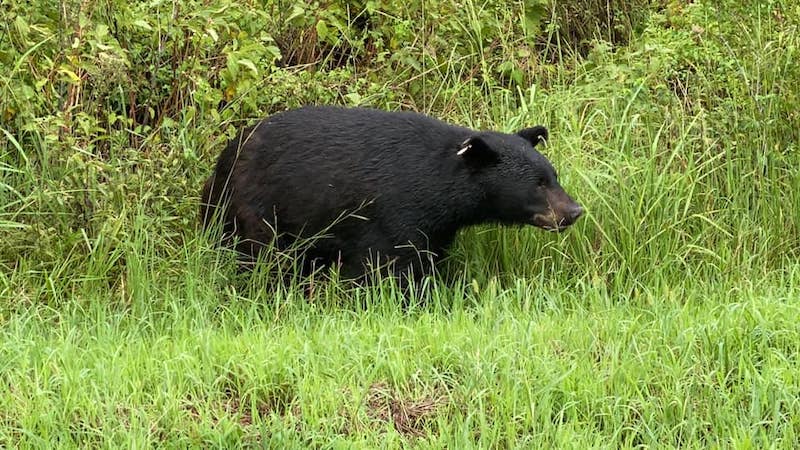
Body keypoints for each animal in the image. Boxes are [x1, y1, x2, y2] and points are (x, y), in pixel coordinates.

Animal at [201, 106, 582, 284]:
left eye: (553, 176)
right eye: (539, 183)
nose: (574, 210)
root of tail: (223, 157)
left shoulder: (435, 228)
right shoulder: (390, 215)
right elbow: (390, 268)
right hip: (256, 209)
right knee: (261, 258)